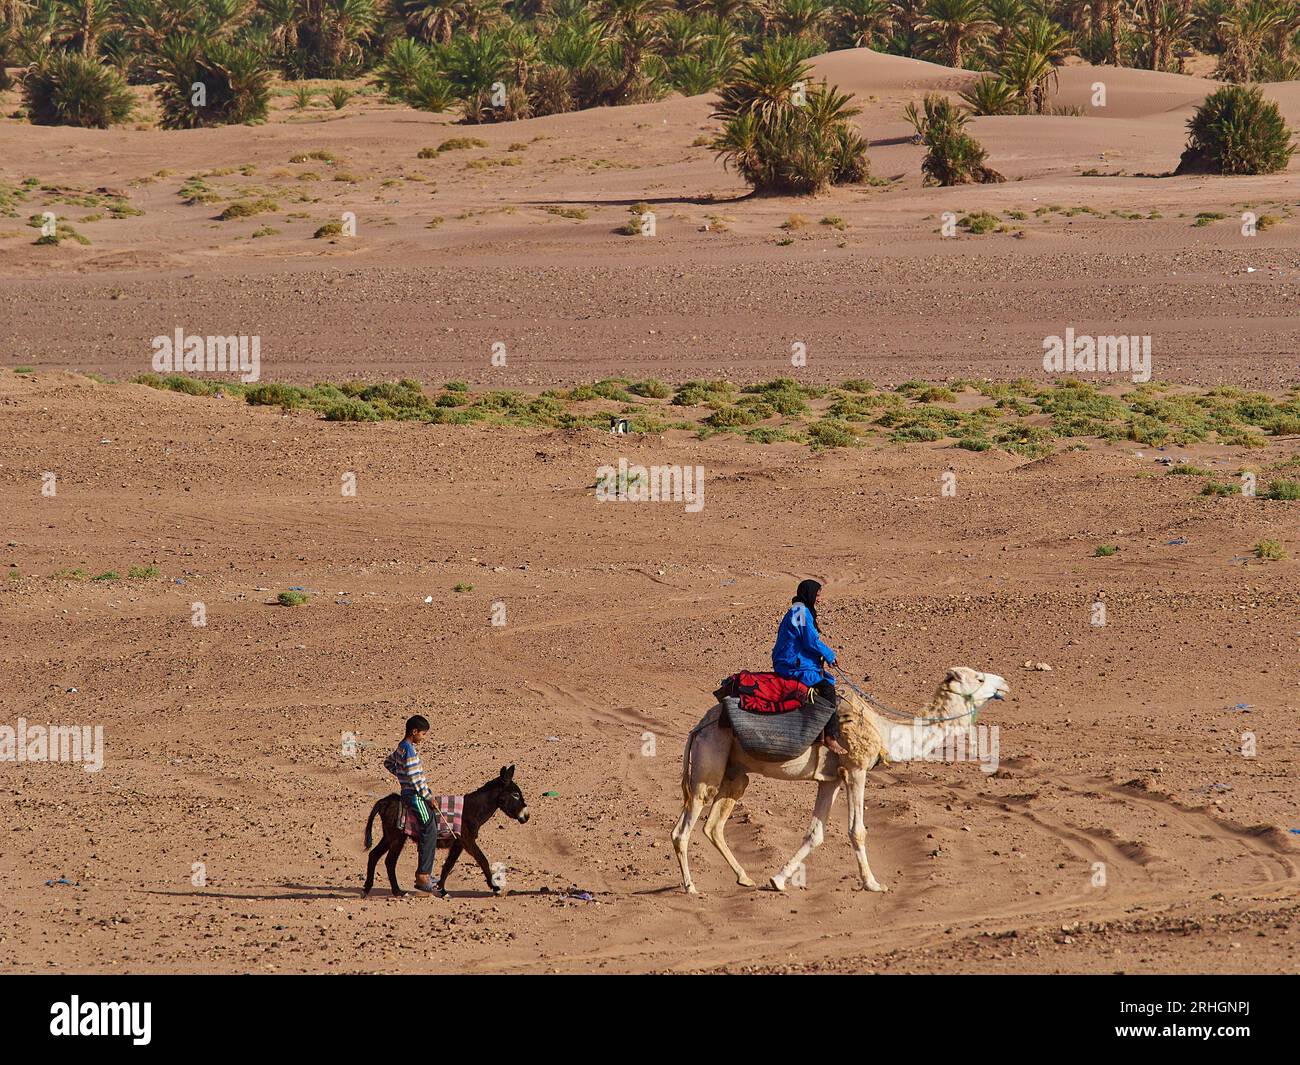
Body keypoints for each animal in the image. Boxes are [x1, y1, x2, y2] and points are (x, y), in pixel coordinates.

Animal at [671, 666, 1009, 894]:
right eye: (978, 678)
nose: (1004, 682)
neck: (884, 731)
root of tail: (698, 727)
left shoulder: (830, 779)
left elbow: (815, 834)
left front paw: (778, 879)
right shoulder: (856, 769)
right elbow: (857, 831)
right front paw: (873, 883)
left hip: (735, 774)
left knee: (713, 825)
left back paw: (745, 877)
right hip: (708, 764)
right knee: (683, 829)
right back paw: (691, 887)